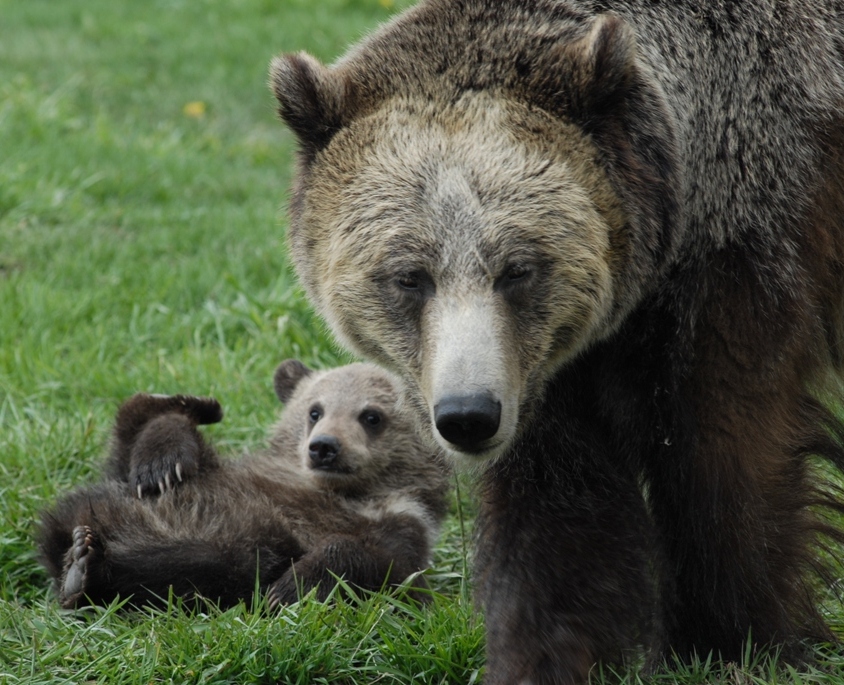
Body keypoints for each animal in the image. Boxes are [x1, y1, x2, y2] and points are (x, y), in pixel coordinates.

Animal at [38, 360, 449, 610]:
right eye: (315, 410)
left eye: (371, 416)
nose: (323, 447)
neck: (346, 492)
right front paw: (161, 465)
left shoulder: (401, 521)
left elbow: (385, 567)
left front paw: (291, 586)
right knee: (135, 434)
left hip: (216, 552)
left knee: (192, 565)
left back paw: (82, 566)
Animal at [268, 1, 844, 683]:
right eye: (410, 276)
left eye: (517, 268)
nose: (468, 415)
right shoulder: (541, 369)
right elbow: (560, 507)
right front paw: (547, 652)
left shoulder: (749, 237)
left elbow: (726, 439)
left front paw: (737, 639)